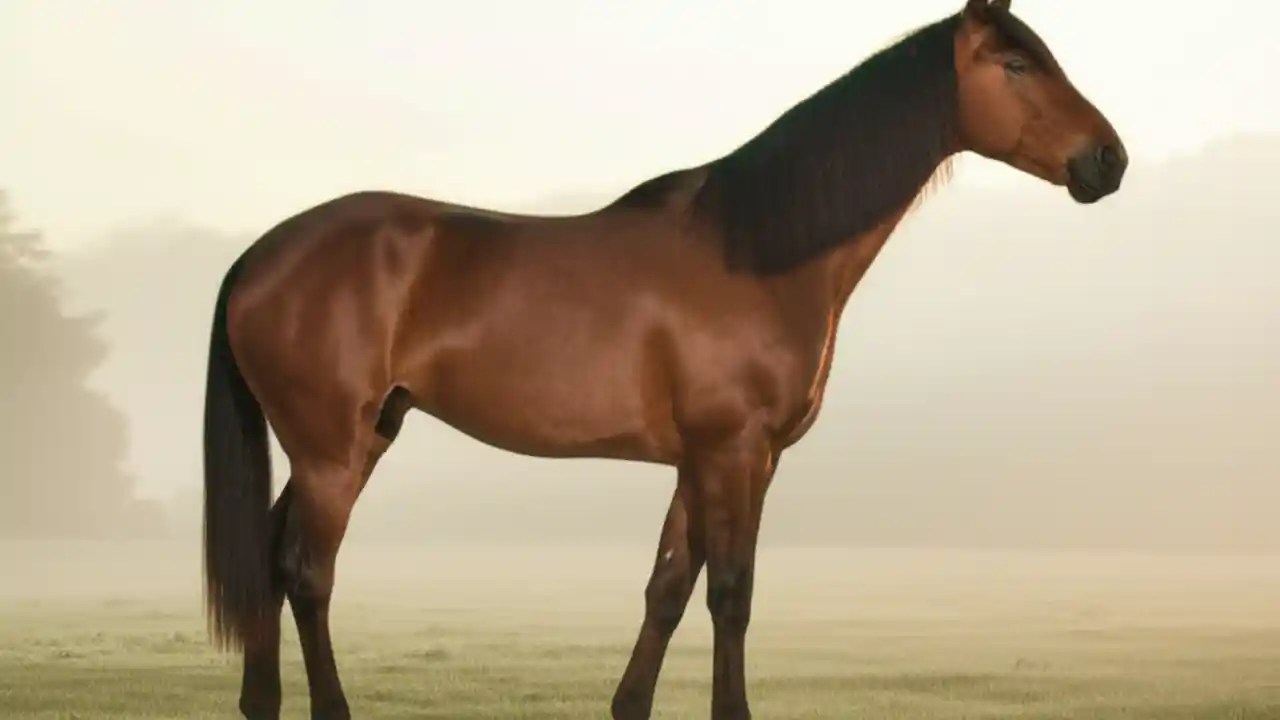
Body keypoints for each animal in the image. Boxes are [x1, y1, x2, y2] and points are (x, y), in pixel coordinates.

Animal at [201, 1, 1127, 717]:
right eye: (1017, 63)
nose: (1107, 160)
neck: (757, 251)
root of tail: (257, 257)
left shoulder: (700, 460)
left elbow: (670, 588)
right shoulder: (737, 452)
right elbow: (731, 595)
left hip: (360, 438)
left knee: (272, 560)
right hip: (331, 449)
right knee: (306, 571)